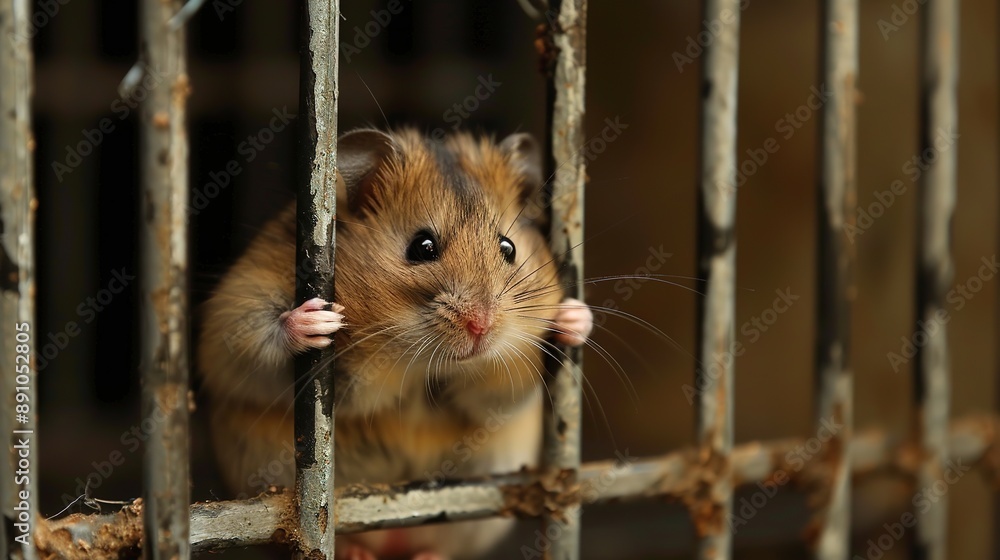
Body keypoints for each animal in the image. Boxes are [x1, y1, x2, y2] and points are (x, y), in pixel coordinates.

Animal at [197, 128, 593, 560]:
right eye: (422, 246)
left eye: (509, 248)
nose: (481, 327)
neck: (417, 363)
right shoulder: (239, 315)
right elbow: (262, 343)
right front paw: (321, 320)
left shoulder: (498, 386)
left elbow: (507, 385)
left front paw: (574, 319)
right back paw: (355, 551)